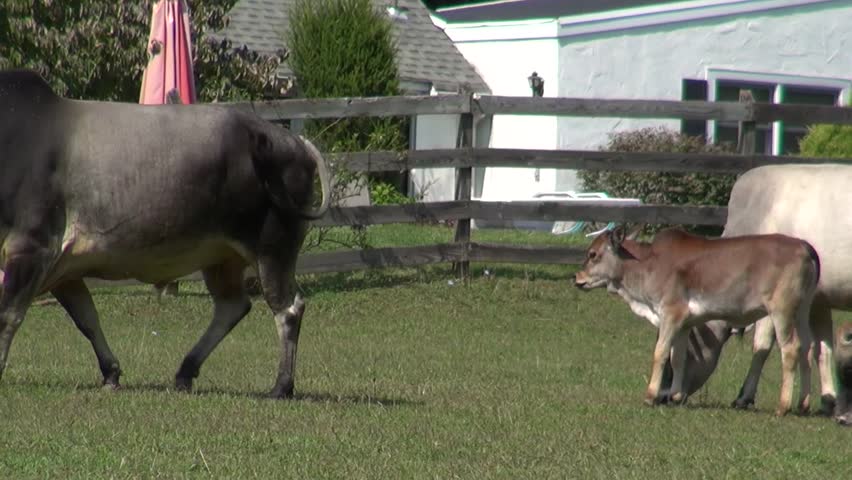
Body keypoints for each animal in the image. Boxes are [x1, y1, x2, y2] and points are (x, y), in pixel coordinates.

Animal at [0, 69, 330, 398]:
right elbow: (87, 318)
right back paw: (186, 371)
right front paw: (111, 373)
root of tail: (295, 141)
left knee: (288, 308)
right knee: (233, 306)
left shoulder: (31, 247)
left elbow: (8, 315)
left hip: (272, 248)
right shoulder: (63, 267)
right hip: (222, 258)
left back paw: (281, 386)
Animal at [574, 227, 819, 416]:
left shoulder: (670, 313)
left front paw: (651, 395)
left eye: (593, 254)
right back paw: (803, 403)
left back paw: (783, 406)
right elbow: (678, 358)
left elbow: (661, 352)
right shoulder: (684, 323)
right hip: (803, 309)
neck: (648, 264)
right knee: (807, 347)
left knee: (790, 349)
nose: (577, 278)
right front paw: (675, 395)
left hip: (781, 311)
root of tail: (804, 246)